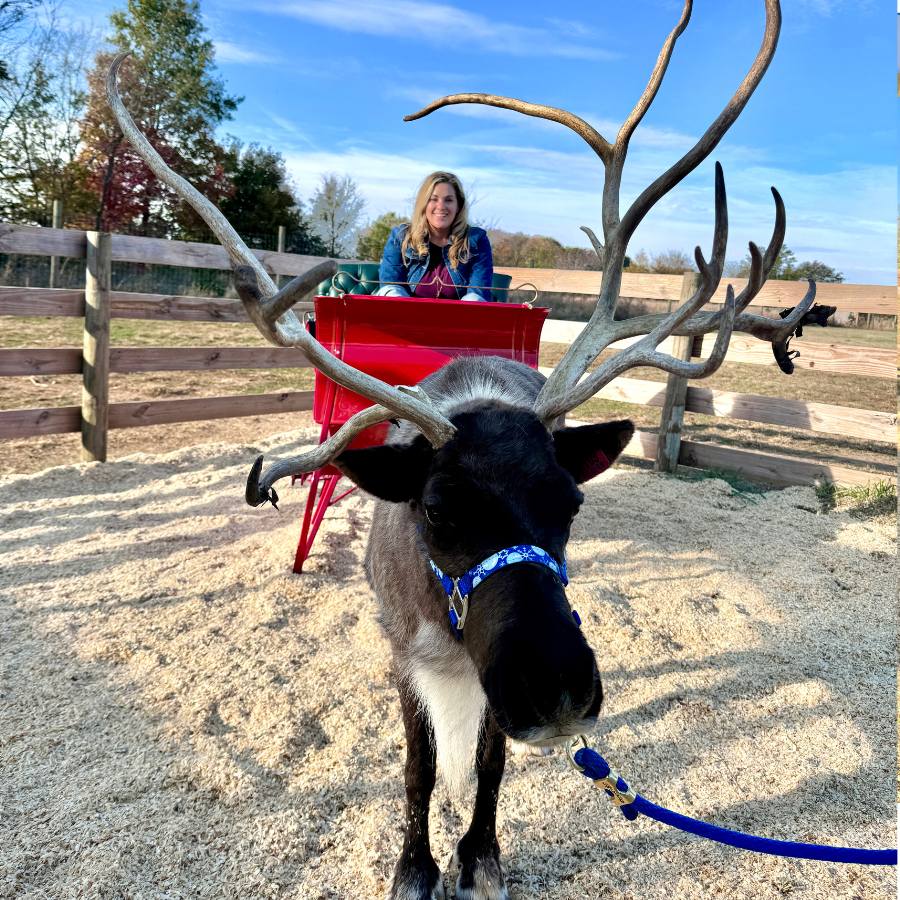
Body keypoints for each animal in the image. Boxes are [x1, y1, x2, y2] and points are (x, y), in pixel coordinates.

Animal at [108, 1, 815, 897]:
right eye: (436, 509)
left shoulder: (490, 672)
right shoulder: (404, 649)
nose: (559, 691)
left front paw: (478, 855)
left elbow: (487, 765)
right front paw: (416, 863)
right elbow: (416, 767)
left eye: (571, 503)